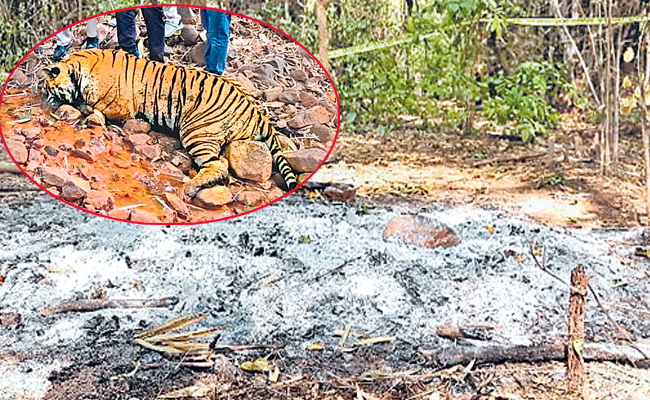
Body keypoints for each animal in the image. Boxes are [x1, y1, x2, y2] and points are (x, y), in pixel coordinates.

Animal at [42, 48, 298, 197]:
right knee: (224, 163)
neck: (81, 68)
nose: (46, 98)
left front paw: (85, 109)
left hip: (195, 131)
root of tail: (256, 109)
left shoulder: (121, 108)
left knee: (218, 166)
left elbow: (93, 107)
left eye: (48, 87)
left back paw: (189, 187)